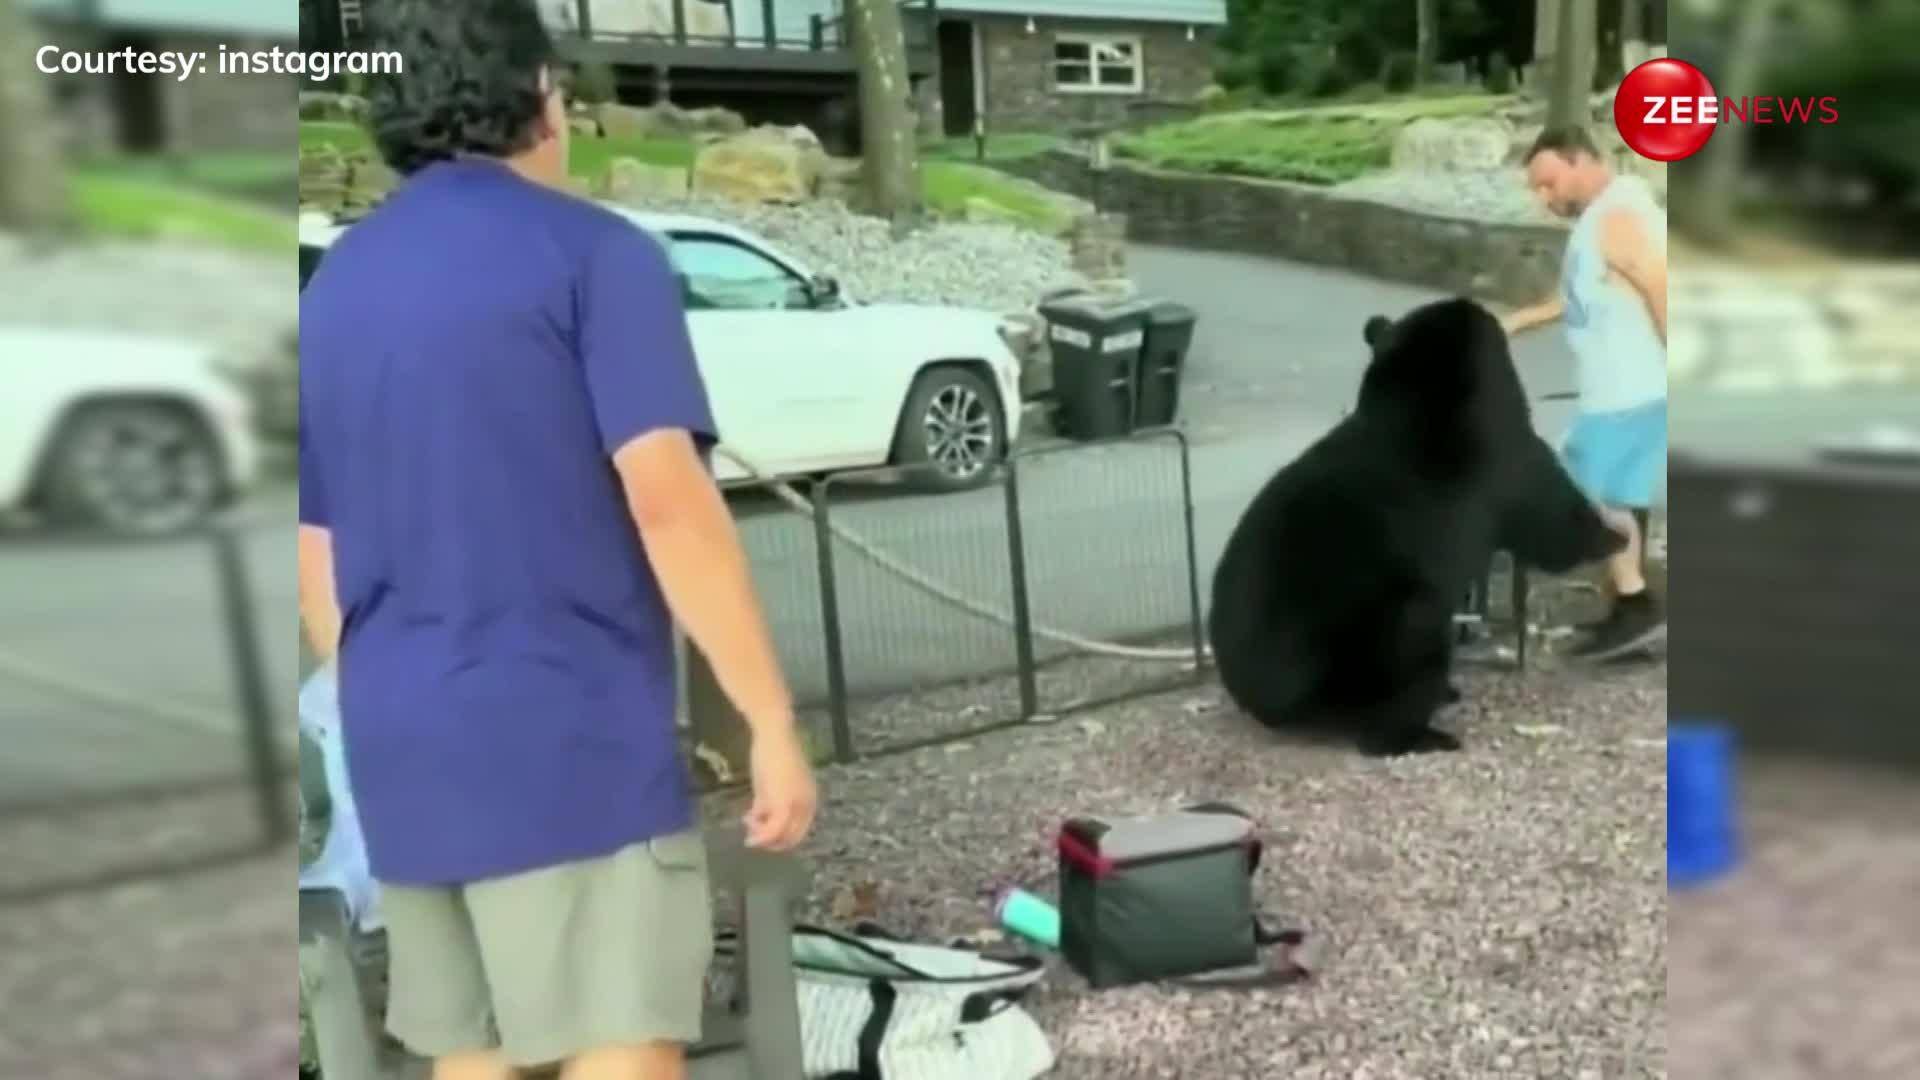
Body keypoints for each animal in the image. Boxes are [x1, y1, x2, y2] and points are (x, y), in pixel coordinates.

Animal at [1206, 297, 1626, 757]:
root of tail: (1273, 697)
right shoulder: (1510, 459)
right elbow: (1553, 525)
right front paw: (1614, 533)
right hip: (1370, 645)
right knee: (1415, 643)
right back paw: (1423, 732)